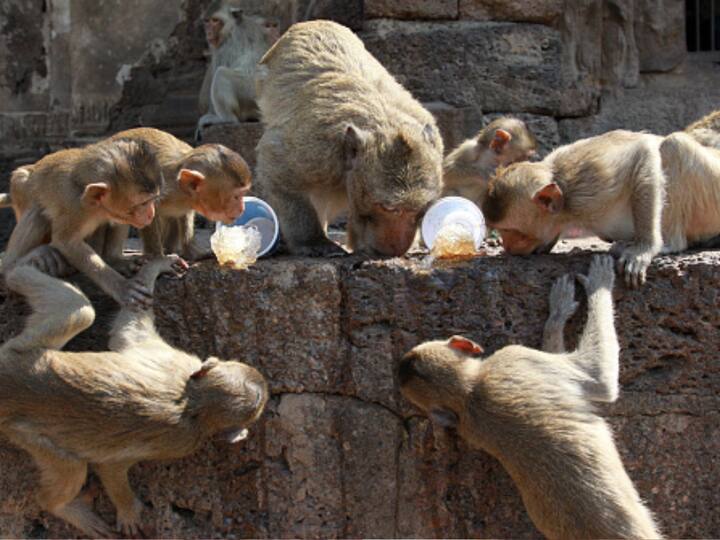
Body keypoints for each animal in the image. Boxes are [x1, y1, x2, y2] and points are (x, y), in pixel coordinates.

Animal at [0, 137, 163, 306]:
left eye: (153, 200)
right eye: (143, 203)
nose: (151, 214)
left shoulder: (116, 212)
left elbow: (118, 221)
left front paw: (115, 261)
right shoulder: (74, 206)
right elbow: (66, 241)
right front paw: (122, 287)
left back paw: (111, 259)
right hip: (20, 192)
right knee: (37, 210)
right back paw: (14, 264)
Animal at [0, 252, 269, 538]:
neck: (195, 399)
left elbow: (128, 331)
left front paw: (154, 267)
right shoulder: (181, 438)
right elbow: (110, 466)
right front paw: (129, 510)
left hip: (20, 351)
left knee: (80, 311)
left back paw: (20, 269)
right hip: (24, 431)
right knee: (71, 469)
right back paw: (60, 507)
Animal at [197, 0, 281, 136]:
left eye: (215, 21)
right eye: (207, 21)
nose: (208, 33)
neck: (233, 25)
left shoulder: (223, 48)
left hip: (250, 95)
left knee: (221, 73)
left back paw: (226, 119)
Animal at [255, 21, 444, 257]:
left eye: (418, 210)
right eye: (389, 208)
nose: (398, 247)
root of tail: (313, 22)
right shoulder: (315, 151)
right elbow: (276, 165)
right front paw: (312, 240)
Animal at [482, 129, 720, 287]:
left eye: (512, 232)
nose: (507, 247)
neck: (566, 210)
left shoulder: (591, 185)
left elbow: (643, 154)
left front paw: (644, 248)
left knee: (674, 145)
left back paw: (670, 242)